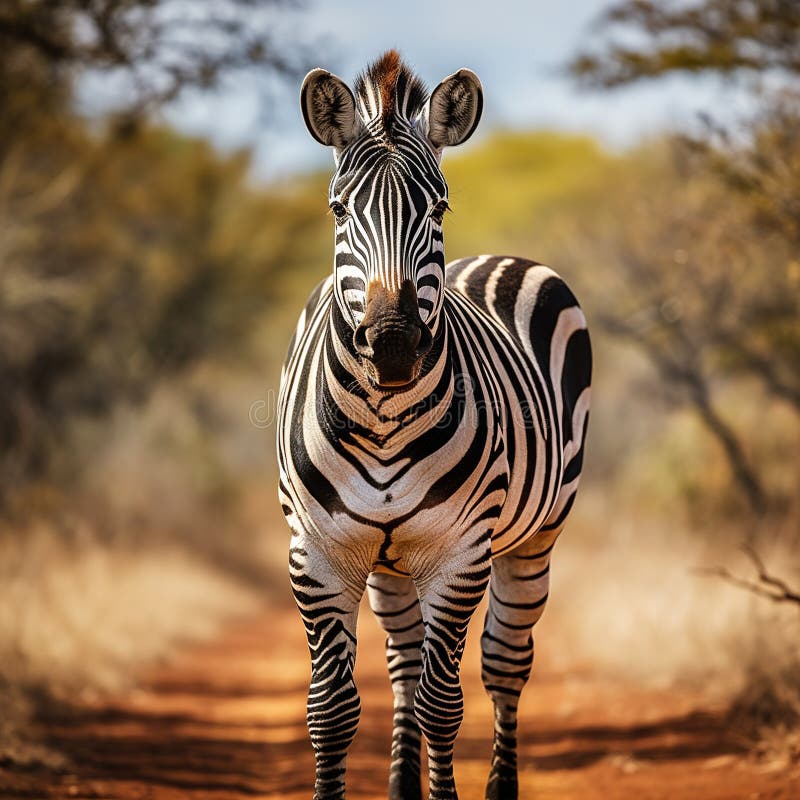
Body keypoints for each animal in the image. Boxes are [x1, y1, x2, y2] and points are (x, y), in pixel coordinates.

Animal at [278, 50, 592, 800]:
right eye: (338, 209)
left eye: (438, 207)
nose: (392, 344)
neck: (384, 420)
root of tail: (488, 258)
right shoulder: (317, 551)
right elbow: (331, 708)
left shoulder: (461, 552)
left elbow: (443, 704)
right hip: (390, 563)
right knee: (402, 664)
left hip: (535, 537)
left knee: (503, 663)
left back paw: (502, 784)